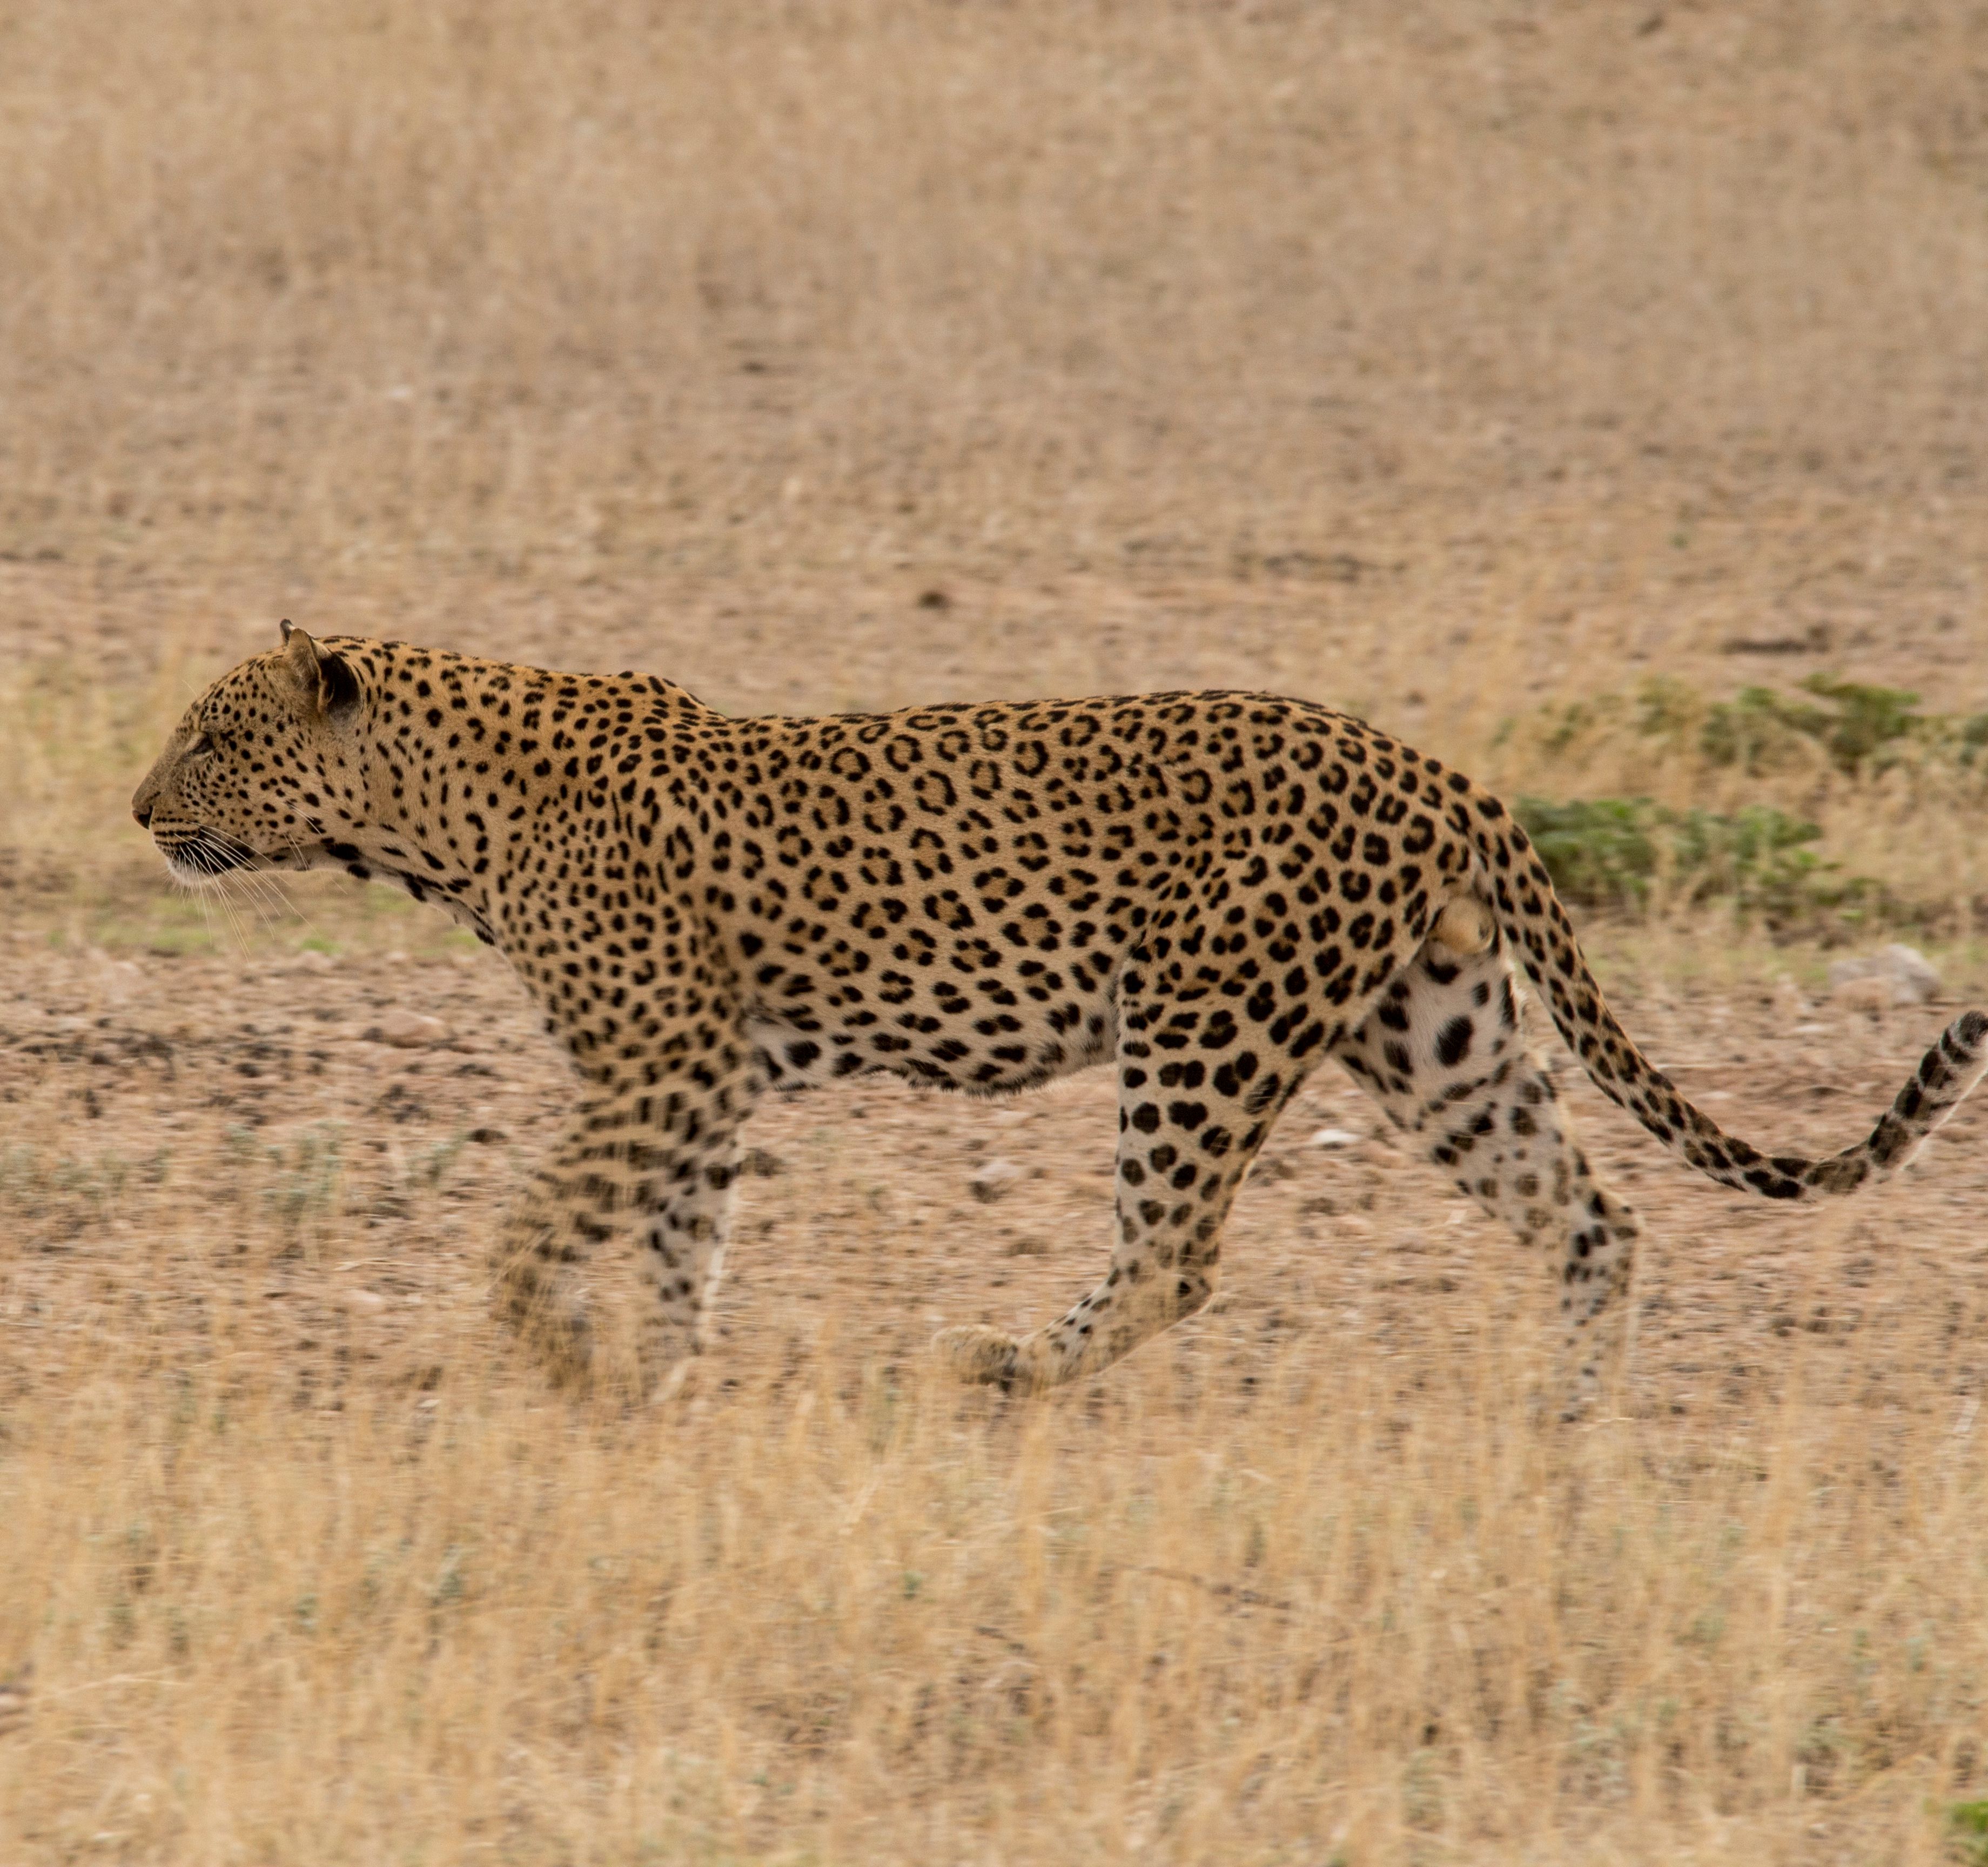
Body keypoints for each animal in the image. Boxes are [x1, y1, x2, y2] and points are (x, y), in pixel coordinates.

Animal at [132, 623, 1988, 1412]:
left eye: (213, 740)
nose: (140, 808)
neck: (434, 820)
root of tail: (1433, 768)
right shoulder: (701, 1086)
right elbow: (674, 1246)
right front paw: (657, 1381)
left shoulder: (661, 1063)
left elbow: (534, 1234)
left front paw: (564, 1356)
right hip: (1436, 1034)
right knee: (1592, 1216)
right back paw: (1566, 1415)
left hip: (1206, 1024)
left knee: (1175, 1252)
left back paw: (1012, 1368)